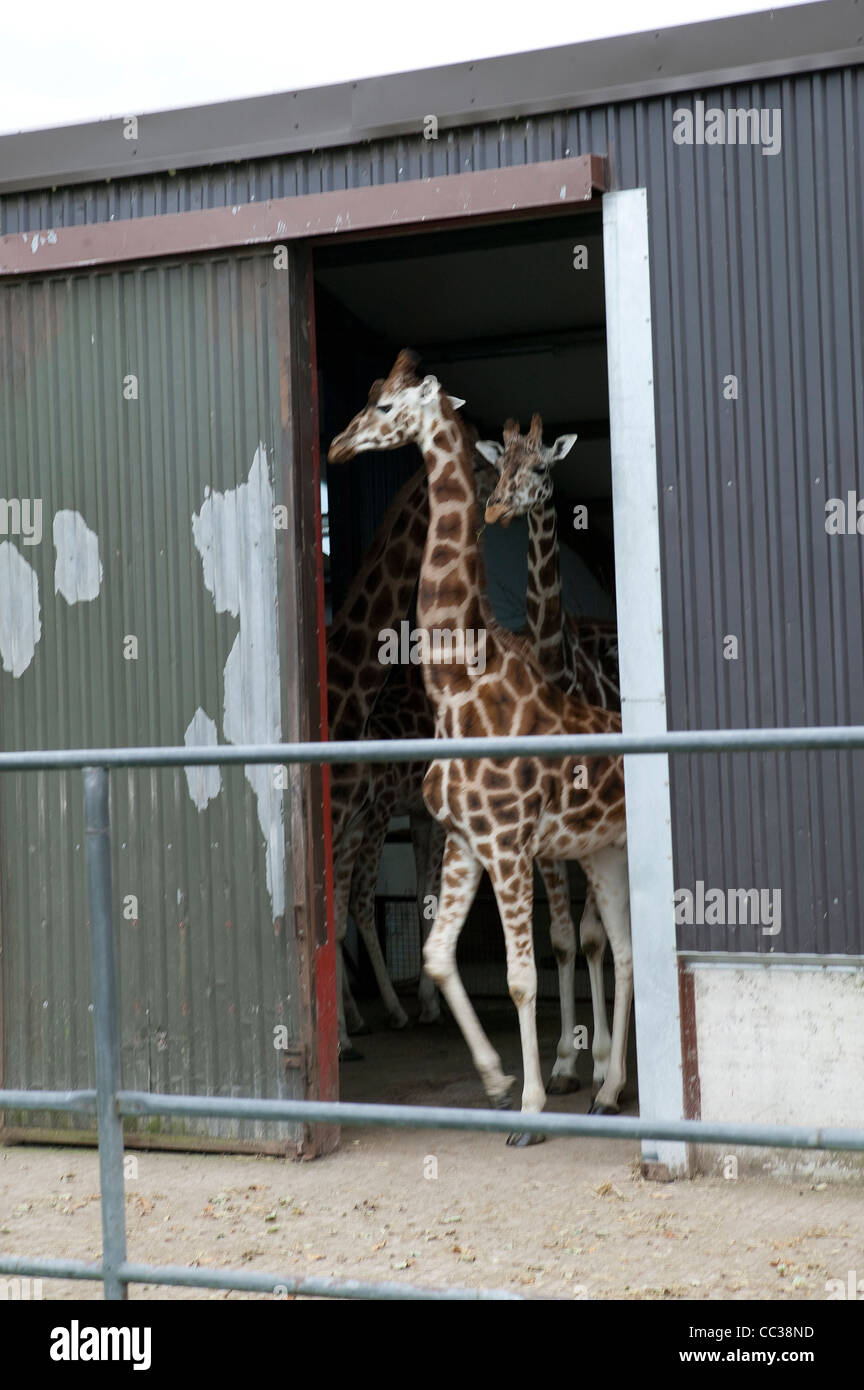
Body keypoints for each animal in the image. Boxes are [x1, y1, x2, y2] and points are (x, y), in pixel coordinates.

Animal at [328, 350, 632, 1138]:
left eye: (386, 407)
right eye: (368, 396)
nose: (335, 446)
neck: (458, 682)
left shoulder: (508, 843)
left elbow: (525, 978)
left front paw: (531, 1104)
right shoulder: (467, 840)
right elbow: (438, 955)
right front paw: (497, 1082)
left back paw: (604, 1085)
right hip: (601, 850)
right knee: (624, 948)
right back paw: (610, 1090)